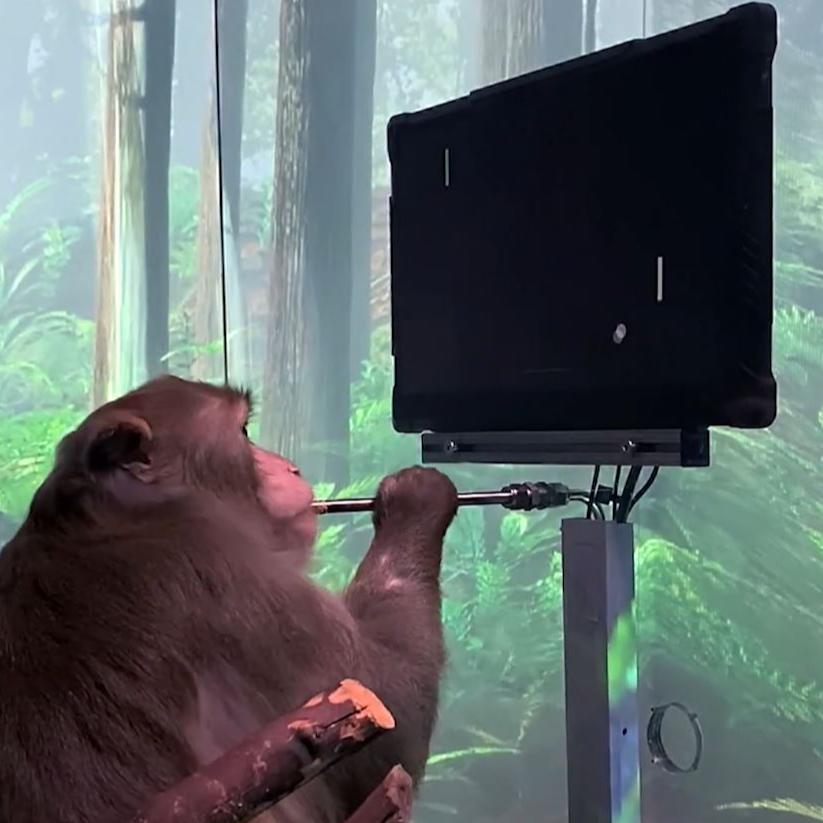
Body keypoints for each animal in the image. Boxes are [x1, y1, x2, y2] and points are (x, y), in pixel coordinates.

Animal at [0, 374, 458, 823]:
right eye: (244, 432)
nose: (292, 467)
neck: (126, 515)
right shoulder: (237, 577)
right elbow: (388, 720)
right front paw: (416, 498)